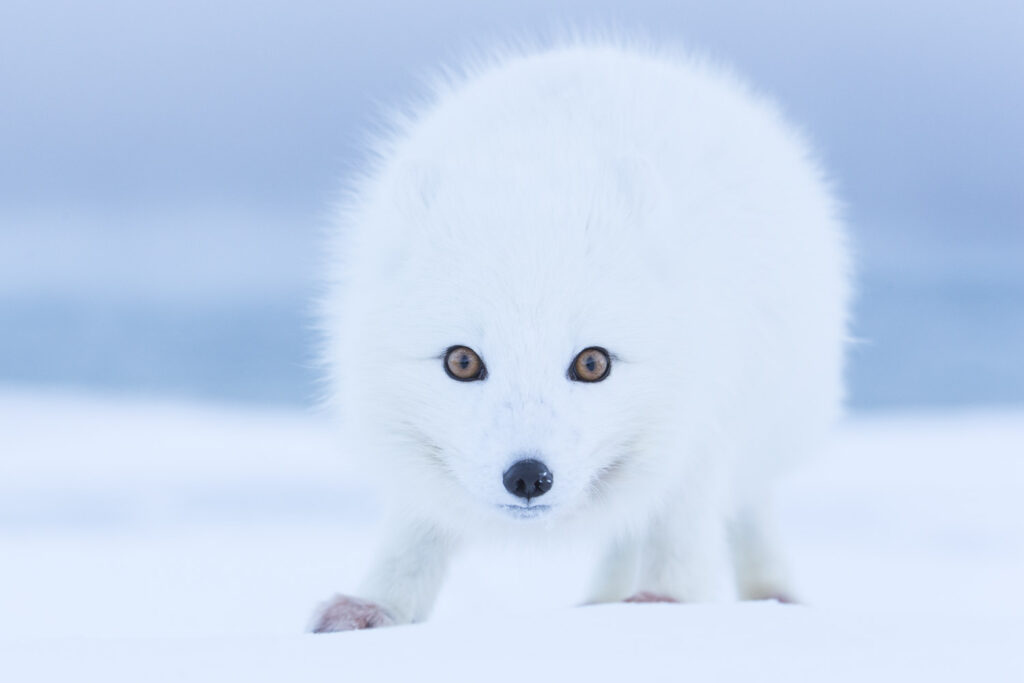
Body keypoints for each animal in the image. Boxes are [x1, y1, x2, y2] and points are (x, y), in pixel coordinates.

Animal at [312, 40, 850, 631]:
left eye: (593, 363)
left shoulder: (698, 431)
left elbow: (679, 529)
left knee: (745, 511)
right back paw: (601, 603)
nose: (528, 477)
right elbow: (416, 532)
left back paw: (770, 596)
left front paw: (670, 602)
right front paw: (376, 606)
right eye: (462, 362)